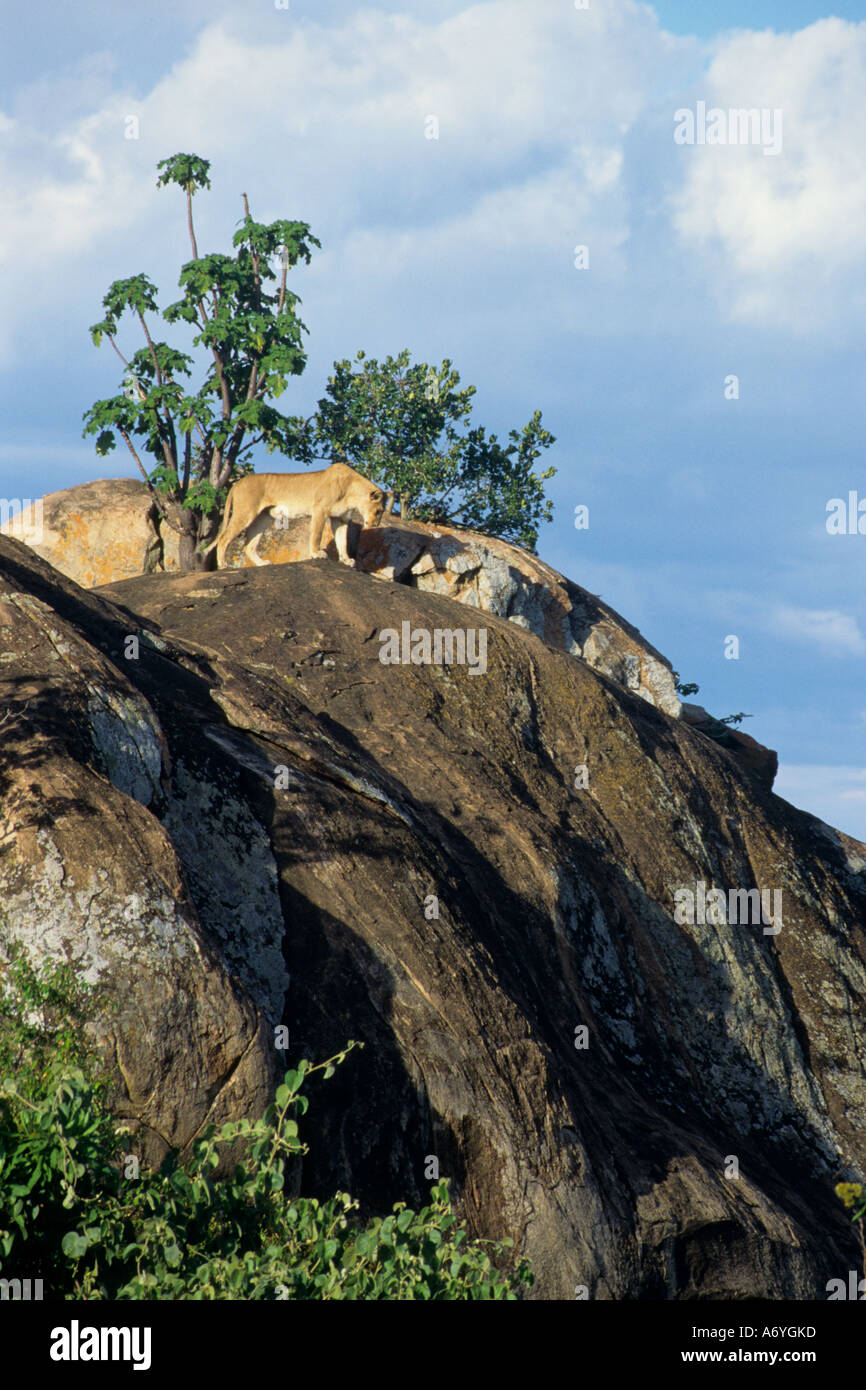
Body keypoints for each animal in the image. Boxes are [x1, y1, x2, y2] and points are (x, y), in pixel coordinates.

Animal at [202, 462, 386, 570]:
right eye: (379, 511)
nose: (375, 525)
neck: (352, 493)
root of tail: (237, 483)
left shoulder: (341, 519)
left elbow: (343, 542)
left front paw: (346, 560)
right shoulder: (320, 510)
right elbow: (317, 535)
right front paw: (317, 553)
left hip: (263, 518)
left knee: (249, 546)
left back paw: (262, 564)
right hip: (245, 512)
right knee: (224, 537)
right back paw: (223, 564)